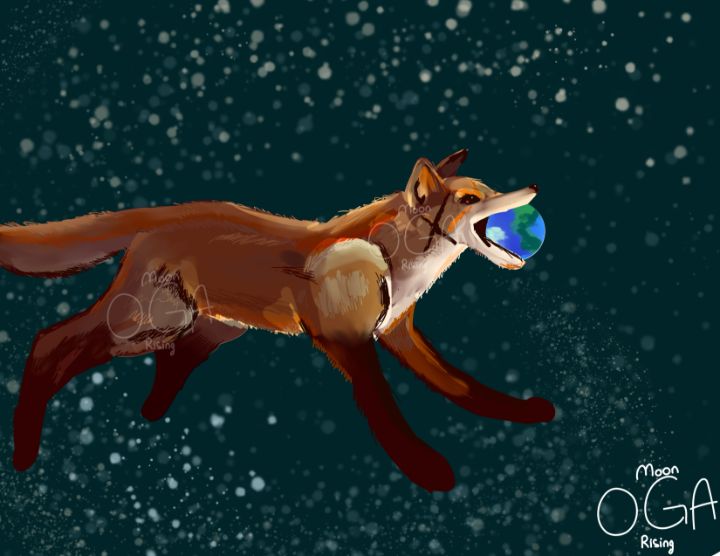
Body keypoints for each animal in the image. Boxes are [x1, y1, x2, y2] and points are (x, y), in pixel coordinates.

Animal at [0, 149, 555, 491]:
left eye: (488, 188)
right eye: (471, 199)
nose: (532, 187)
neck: (397, 265)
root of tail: (161, 212)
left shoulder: (400, 335)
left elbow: (463, 388)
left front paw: (521, 412)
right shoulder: (347, 341)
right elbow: (386, 410)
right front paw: (426, 469)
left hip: (206, 328)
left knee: (173, 361)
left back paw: (152, 415)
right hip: (142, 321)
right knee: (50, 341)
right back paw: (24, 454)